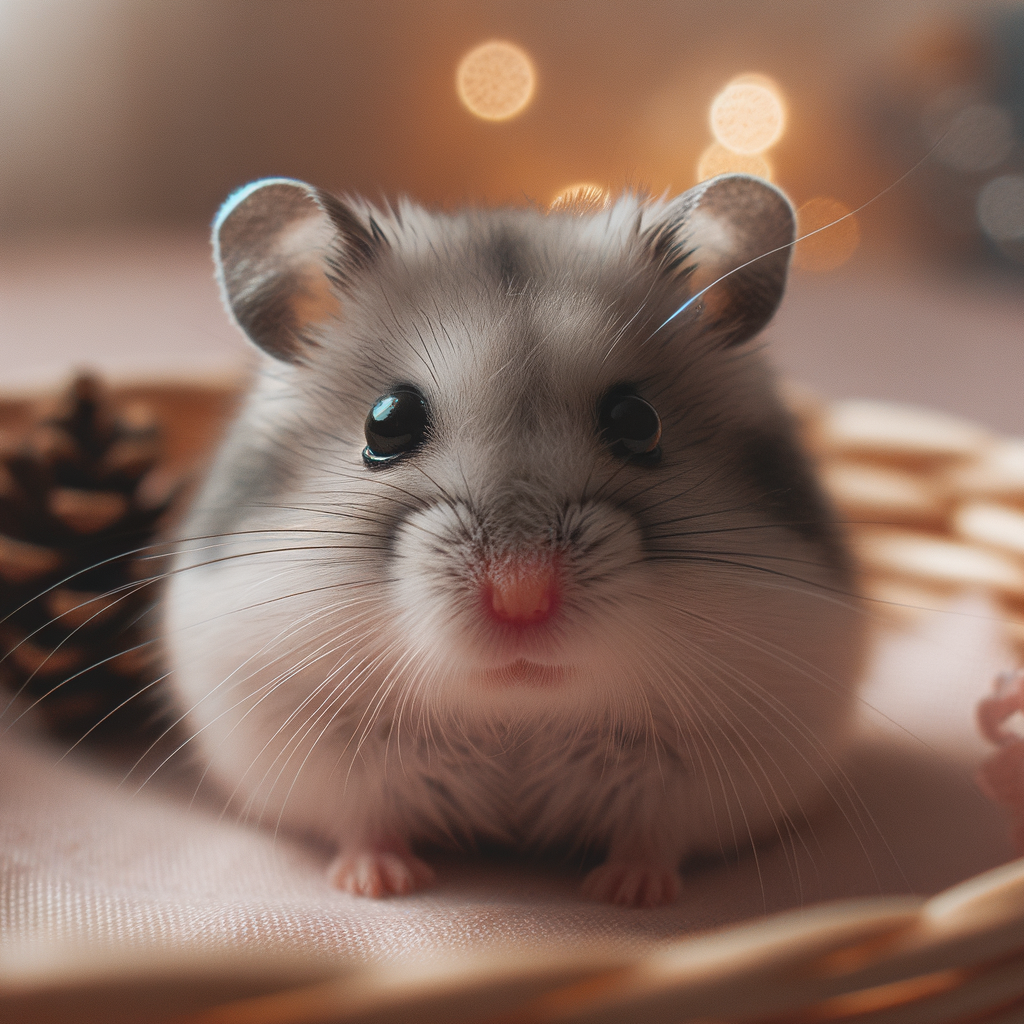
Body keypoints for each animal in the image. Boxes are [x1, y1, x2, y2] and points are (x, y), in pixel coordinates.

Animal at [163, 174, 866, 907]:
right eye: (386, 422)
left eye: (638, 421)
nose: (522, 599)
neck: (516, 717)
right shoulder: (309, 741)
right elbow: (366, 822)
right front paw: (380, 886)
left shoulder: (711, 762)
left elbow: (654, 835)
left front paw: (629, 893)